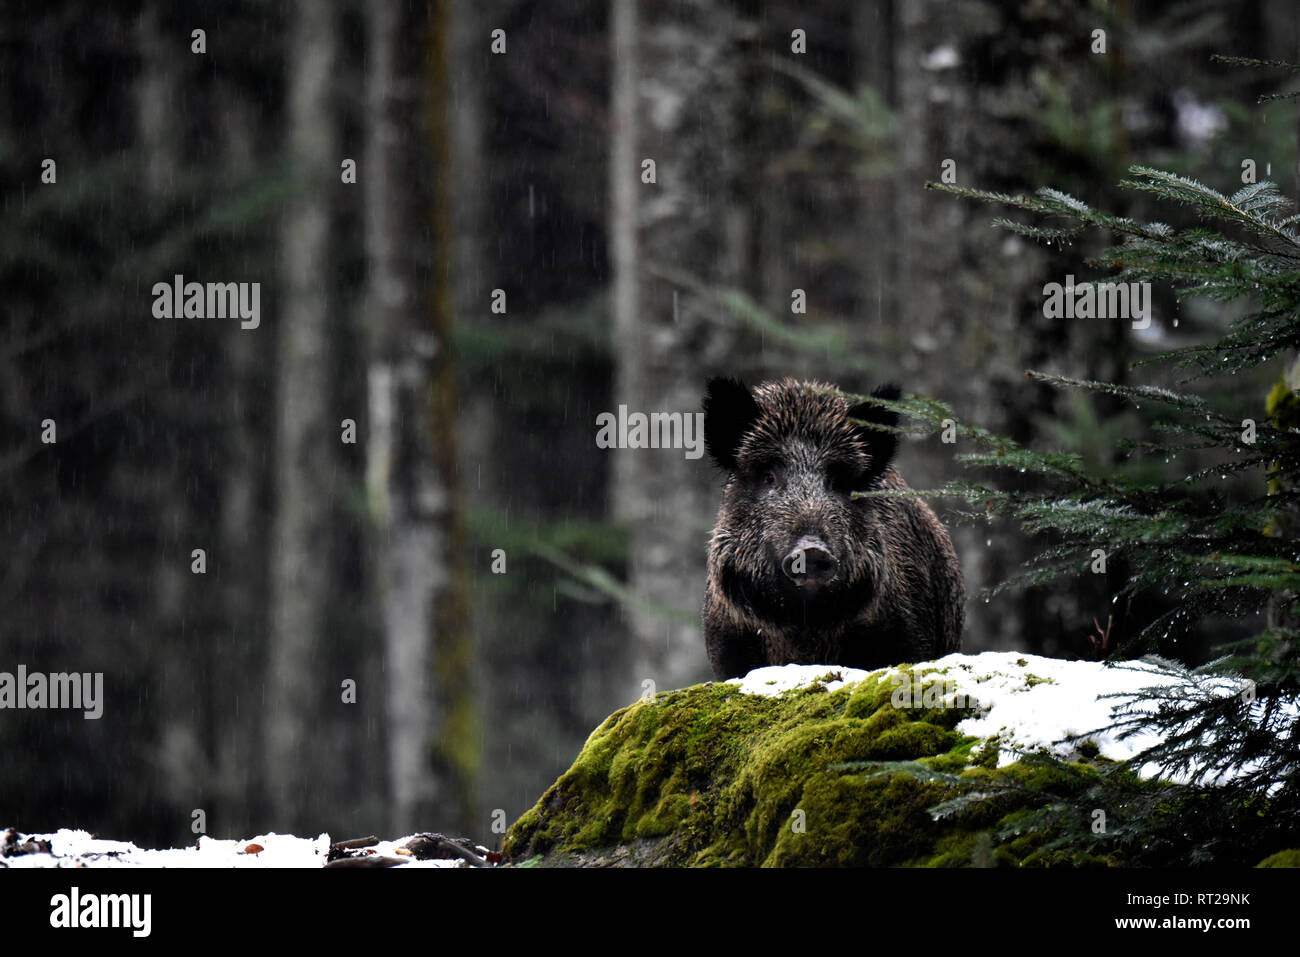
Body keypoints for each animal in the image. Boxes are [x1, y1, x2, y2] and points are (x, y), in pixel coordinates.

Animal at [701, 377, 964, 678]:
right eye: (768, 477)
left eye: (837, 482)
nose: (811, 549)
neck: (805, 627)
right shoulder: (727, 645)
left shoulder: (908, 631)